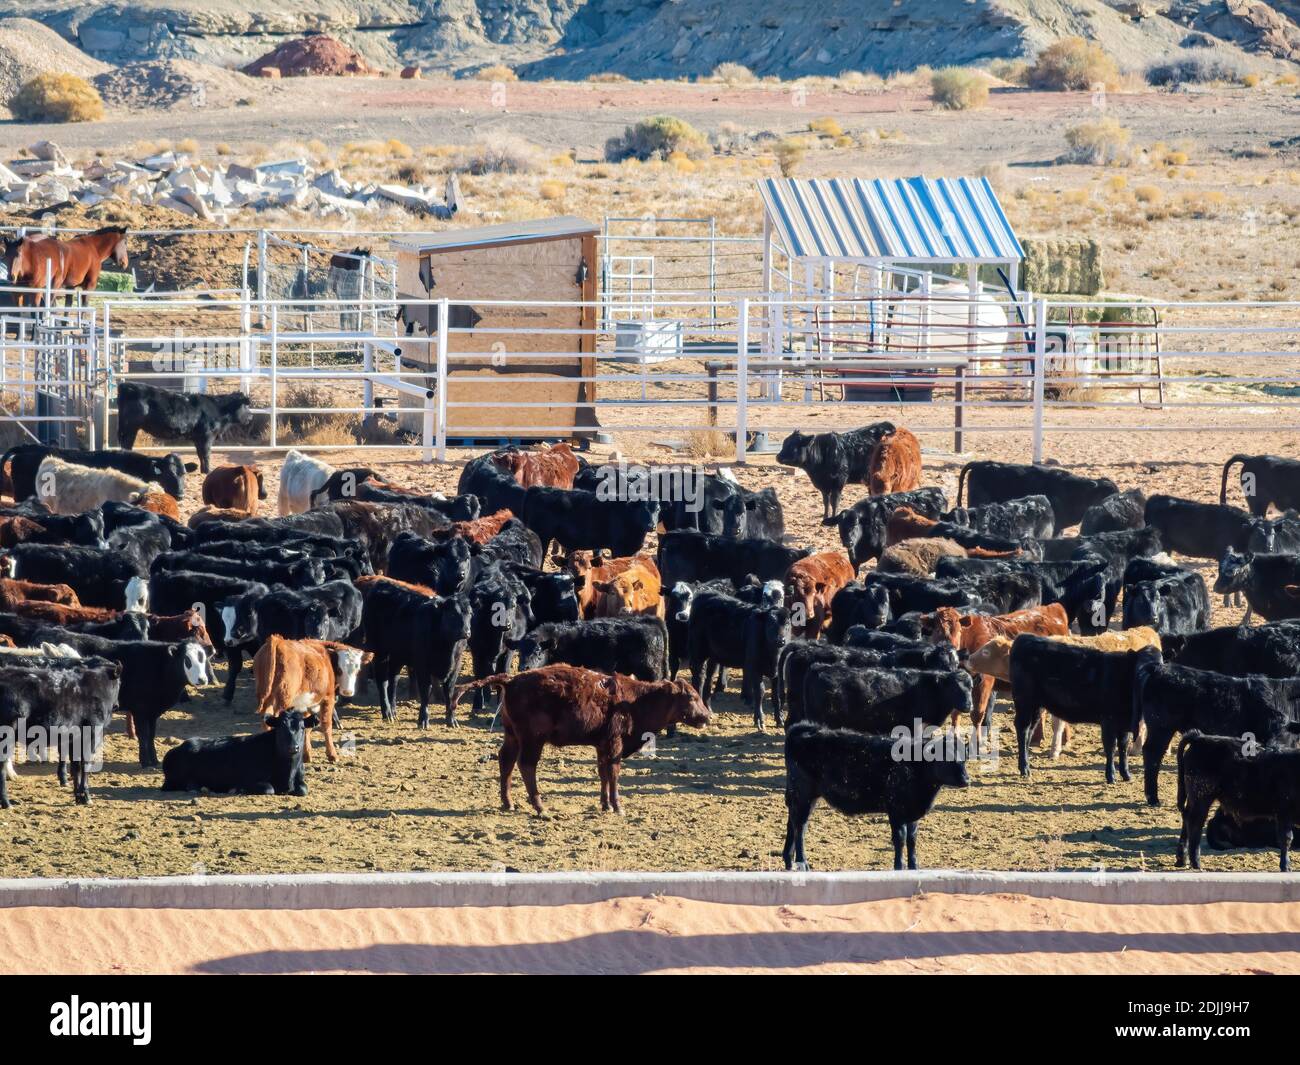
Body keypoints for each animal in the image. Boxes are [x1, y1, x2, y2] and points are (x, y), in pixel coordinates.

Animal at [116, 381, 255, 473]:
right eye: (245, 406)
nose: (251, 417)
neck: (218, 409)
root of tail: (127, 386)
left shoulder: (199, 438)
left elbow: (200, 454)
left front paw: (203, 470)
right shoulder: (207, 436)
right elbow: (206, 454)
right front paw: (208, 471)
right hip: (130, 427)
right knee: (126, 445)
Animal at [161, 710, 316, 796]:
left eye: (302, 727)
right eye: (280, 728)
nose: (293, 747)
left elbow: (303, 789)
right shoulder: (250, 779)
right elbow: (269, 788)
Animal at [452, 665, 711, 813]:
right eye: (691, 697)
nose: (707, 716)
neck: (634, 701)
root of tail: (512, 679)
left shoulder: (602, 745)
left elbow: (603, 773)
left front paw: (605, 804)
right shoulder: (615, 743)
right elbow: (613, 772)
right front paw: (618, 806)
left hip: (512, 735)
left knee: (505, 760)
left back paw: (508, 803)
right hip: (532, 738)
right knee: (526, 765)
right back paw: (540, 807)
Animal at [783, 722, 969, 870]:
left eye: (964, 757)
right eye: (946, 757)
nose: (966, 779)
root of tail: (803, 729)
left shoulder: (911, 812)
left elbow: (912, 839)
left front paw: (914, 867)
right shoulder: (896, 811)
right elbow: (900, 838)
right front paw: (899, 867)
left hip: (802, 797)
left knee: (792, 824)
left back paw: (789, 861)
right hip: (803, 795)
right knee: (800, 827)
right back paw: (802, 863)